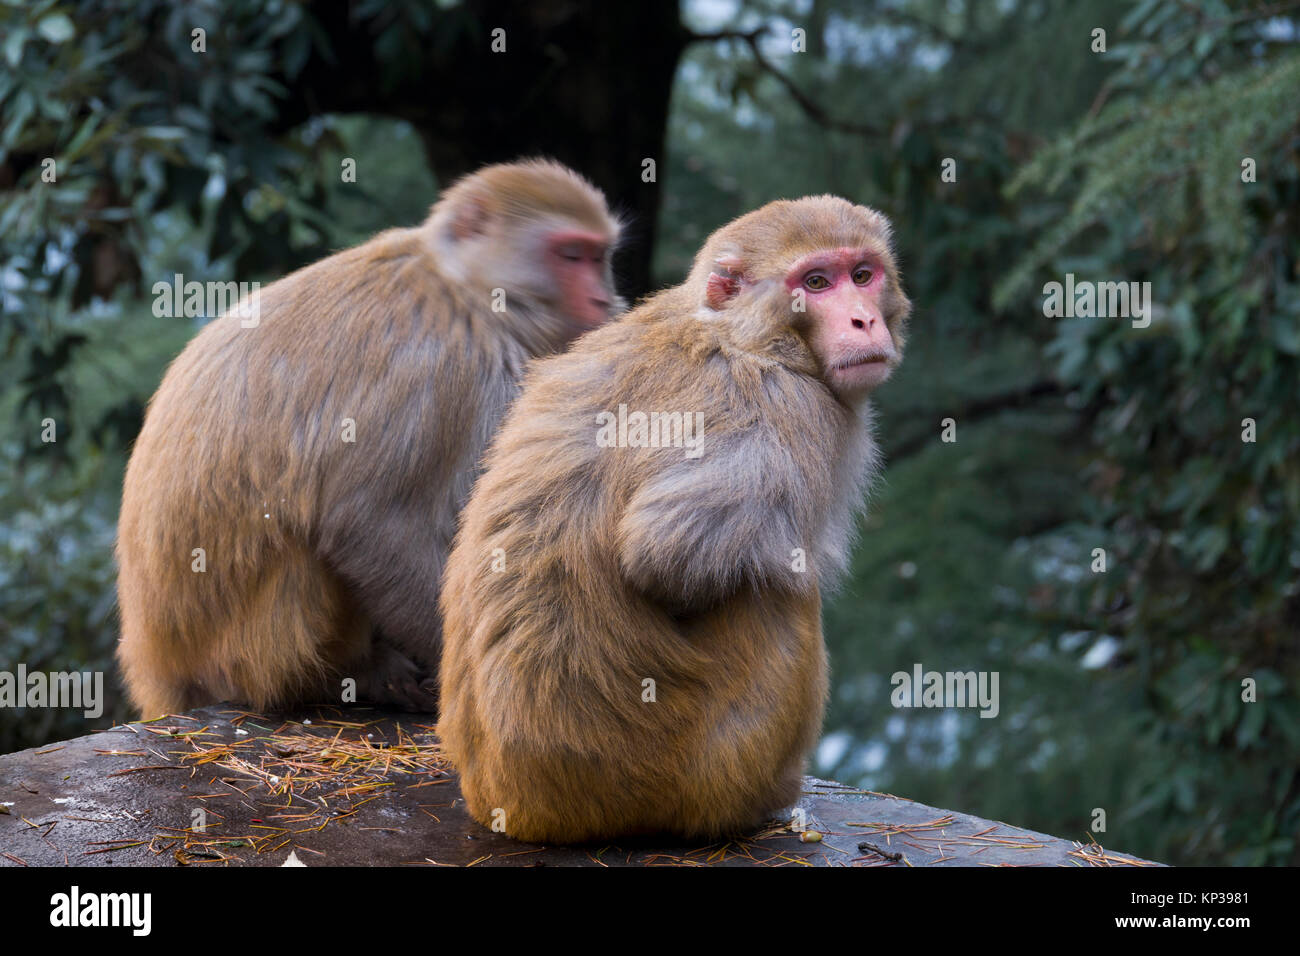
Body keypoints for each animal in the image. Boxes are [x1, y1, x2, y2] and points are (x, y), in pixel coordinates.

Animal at [115, 159, 623, 719]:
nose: (603, 297)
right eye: (571, 255)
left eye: (600, 256)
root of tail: (162, 671)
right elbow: (374, 526)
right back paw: (354, 676)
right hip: (252, 655)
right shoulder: (444, 364)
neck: (461, 286)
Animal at [437, 195, 911, 843]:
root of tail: (518, 808)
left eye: (862, 274)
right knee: (781, 592)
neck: (745, 333)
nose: (864, 320)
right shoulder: (785, 410)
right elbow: (665, 556)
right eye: (815, 283)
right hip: (694, 773)